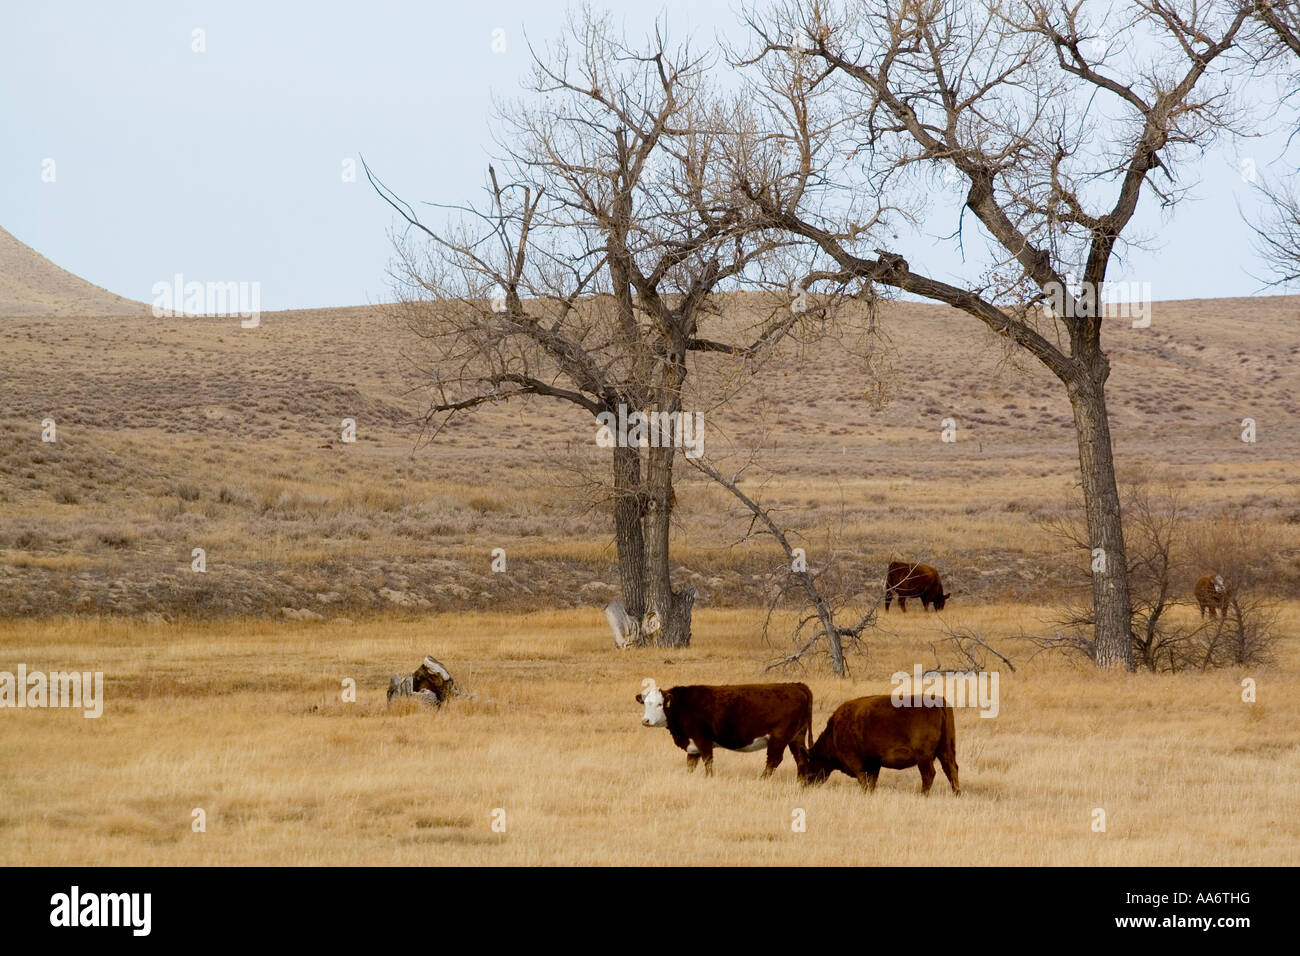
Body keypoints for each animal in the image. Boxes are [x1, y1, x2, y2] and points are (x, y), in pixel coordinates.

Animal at [636, 681, 813, 778]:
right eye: (646, 703)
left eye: (660, 704)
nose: (645, 721)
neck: (684, 705)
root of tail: (797, 686)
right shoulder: (693, 746)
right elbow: (690, 766)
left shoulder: (703, 739)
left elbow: (708, 762)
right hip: (796, 737)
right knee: (801, 759)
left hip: (779, 737)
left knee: (773, 761)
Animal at [798, 694, 959, 795]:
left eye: (810, 763)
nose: (805, 784)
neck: (834, 731)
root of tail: (938, 703)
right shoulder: (874, 763)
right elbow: (871, 781)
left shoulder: (854, 759)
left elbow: (862, 779)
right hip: (946, 751)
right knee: (951, 769)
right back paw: (956, 793)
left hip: (924, 758)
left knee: (929, 774)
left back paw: (922, 795)